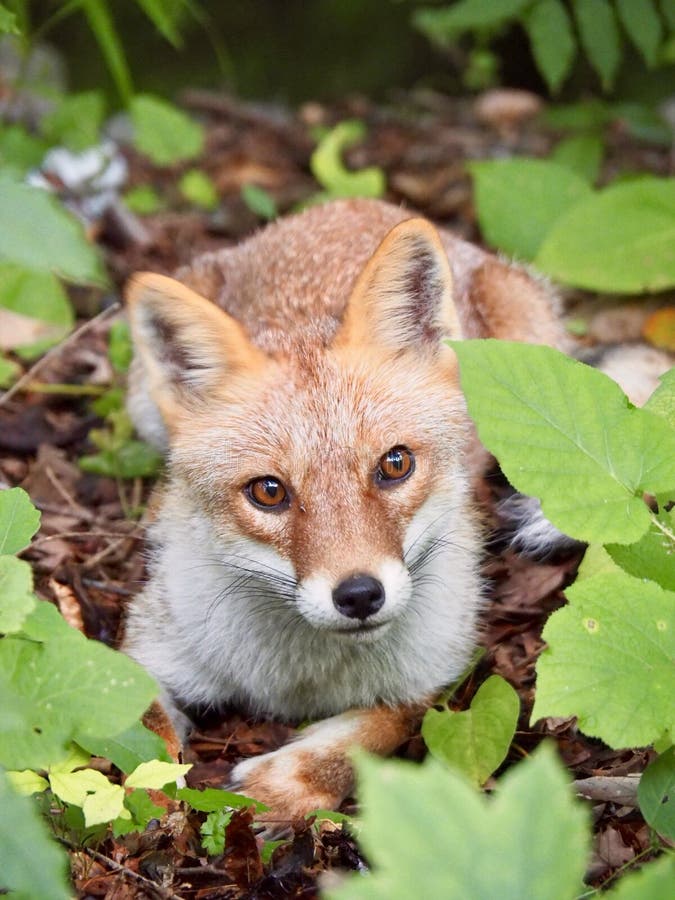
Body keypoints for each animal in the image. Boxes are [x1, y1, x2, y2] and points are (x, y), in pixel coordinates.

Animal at [122, 197, 567, 821]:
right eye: (268, 491)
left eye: (395, 464)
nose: (359, 595)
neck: (302, 680)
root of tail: (352, 203)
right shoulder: (142, 655)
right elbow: (138, 736)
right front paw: (149, 804)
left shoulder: (435, 675)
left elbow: (375, 733)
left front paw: (286, 784)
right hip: (141, 400)